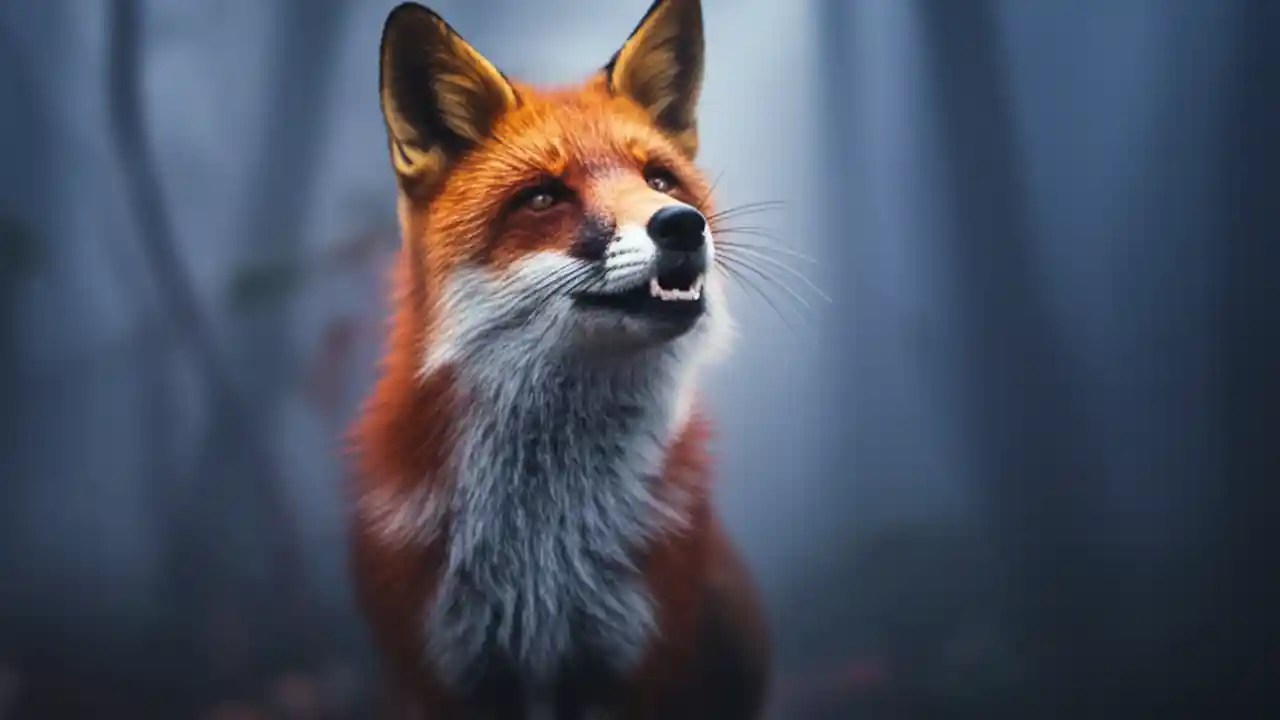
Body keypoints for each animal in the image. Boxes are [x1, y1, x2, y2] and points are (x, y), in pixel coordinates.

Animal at [349, 1, 770, 717]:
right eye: (544, 198)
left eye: (659, 179)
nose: (681, 224)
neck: (542, 554)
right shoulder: (447, 672)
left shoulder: (634, 659)